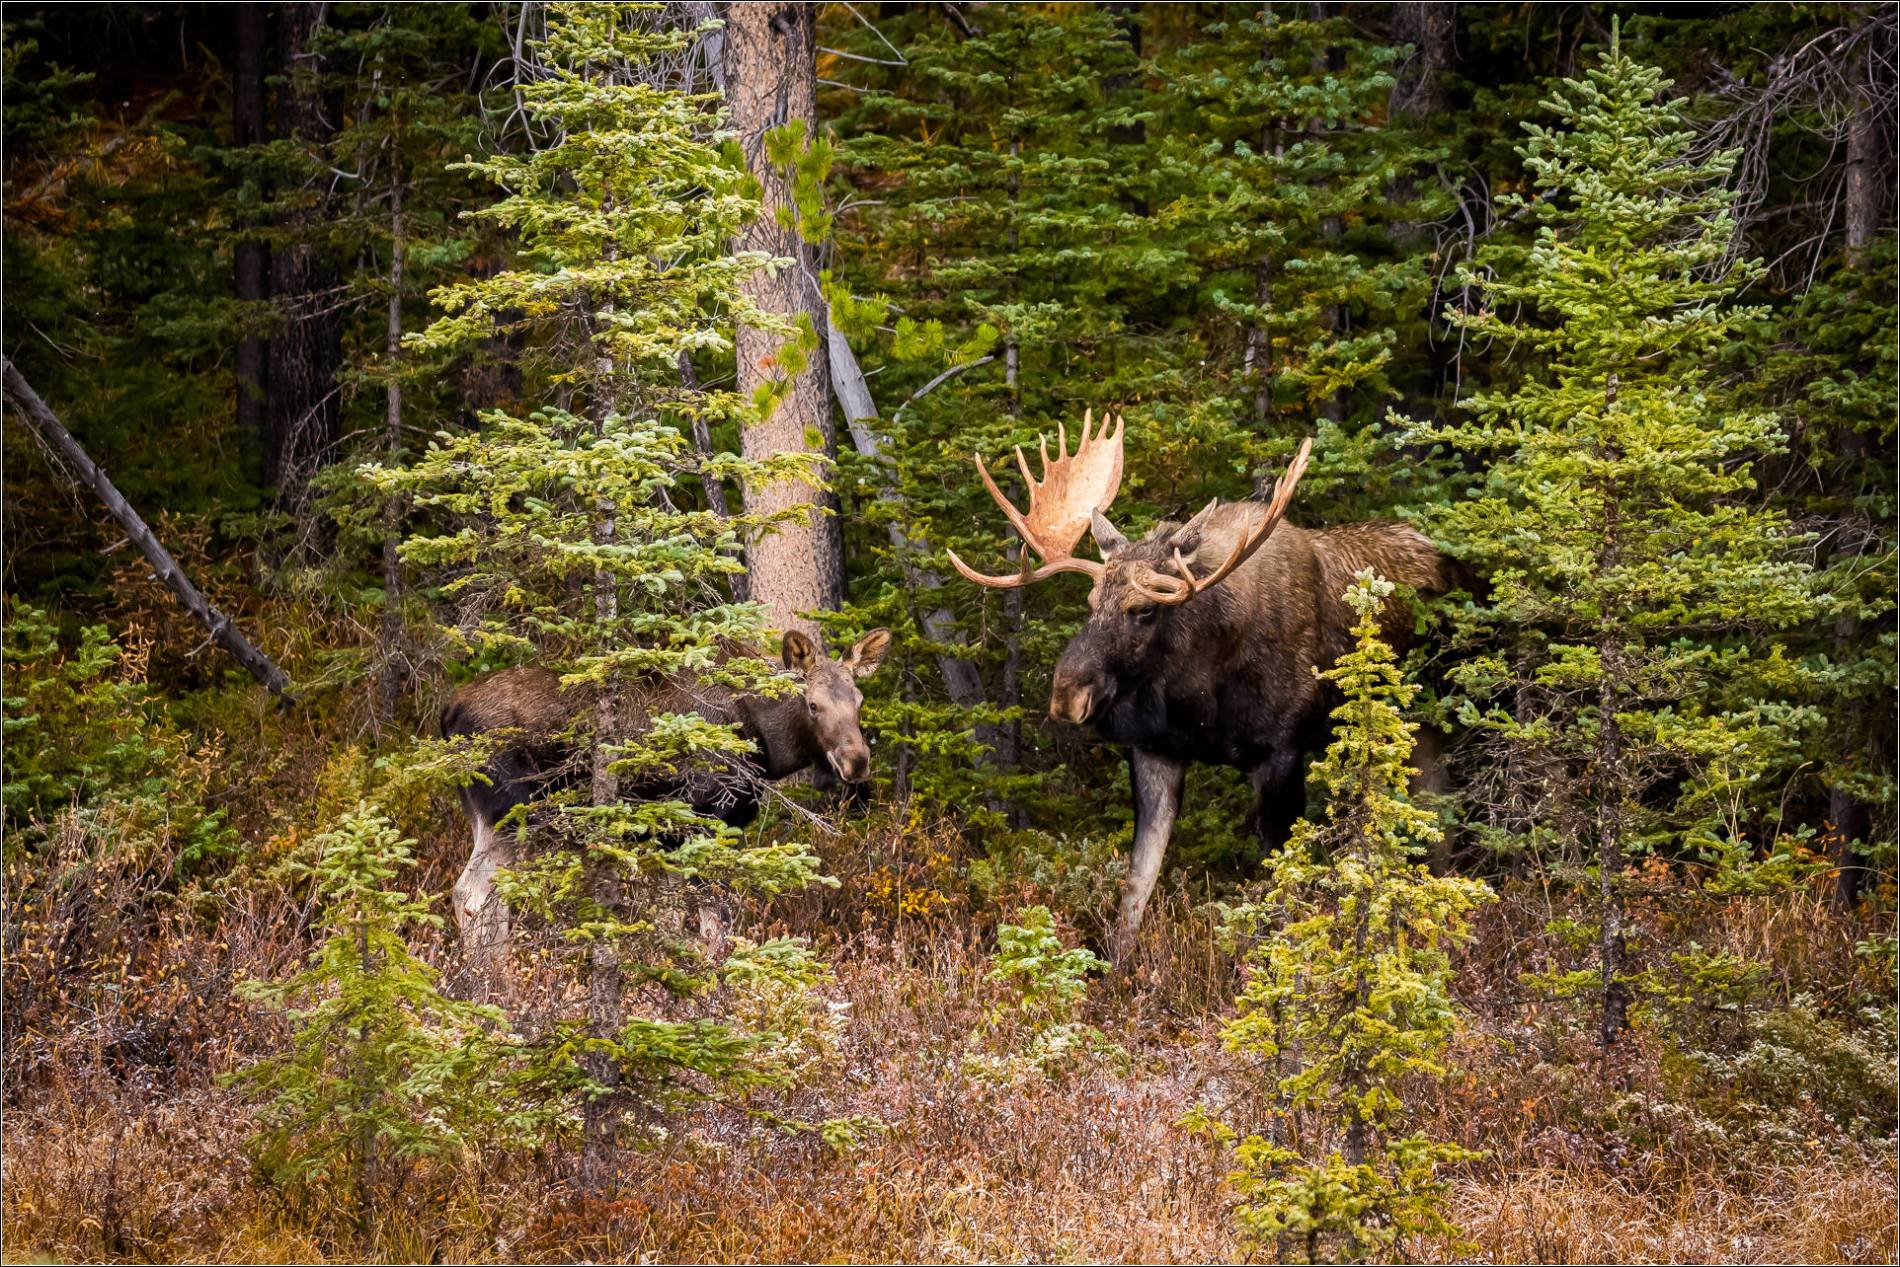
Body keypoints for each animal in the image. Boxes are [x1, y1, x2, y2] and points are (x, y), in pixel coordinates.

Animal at [438, 628, 890, 980]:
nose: (857, 762)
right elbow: (712, 923)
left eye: (859, 700)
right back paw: (493, 982)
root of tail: (447, 713)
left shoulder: (670, 836)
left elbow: (671, 920)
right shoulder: (704, 820)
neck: (765, 742)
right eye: (813, 705)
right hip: (513, 813)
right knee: (473, 893)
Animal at [946, 410, 1454, 965]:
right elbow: (1135, 890)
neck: (1201, 689)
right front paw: (1119, 973)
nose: (1066, 695)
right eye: (1091, 601)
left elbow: (1284, 893)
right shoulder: (1155, 750)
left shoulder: (1280, 753)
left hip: (1433, 718)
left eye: (1144, 610)